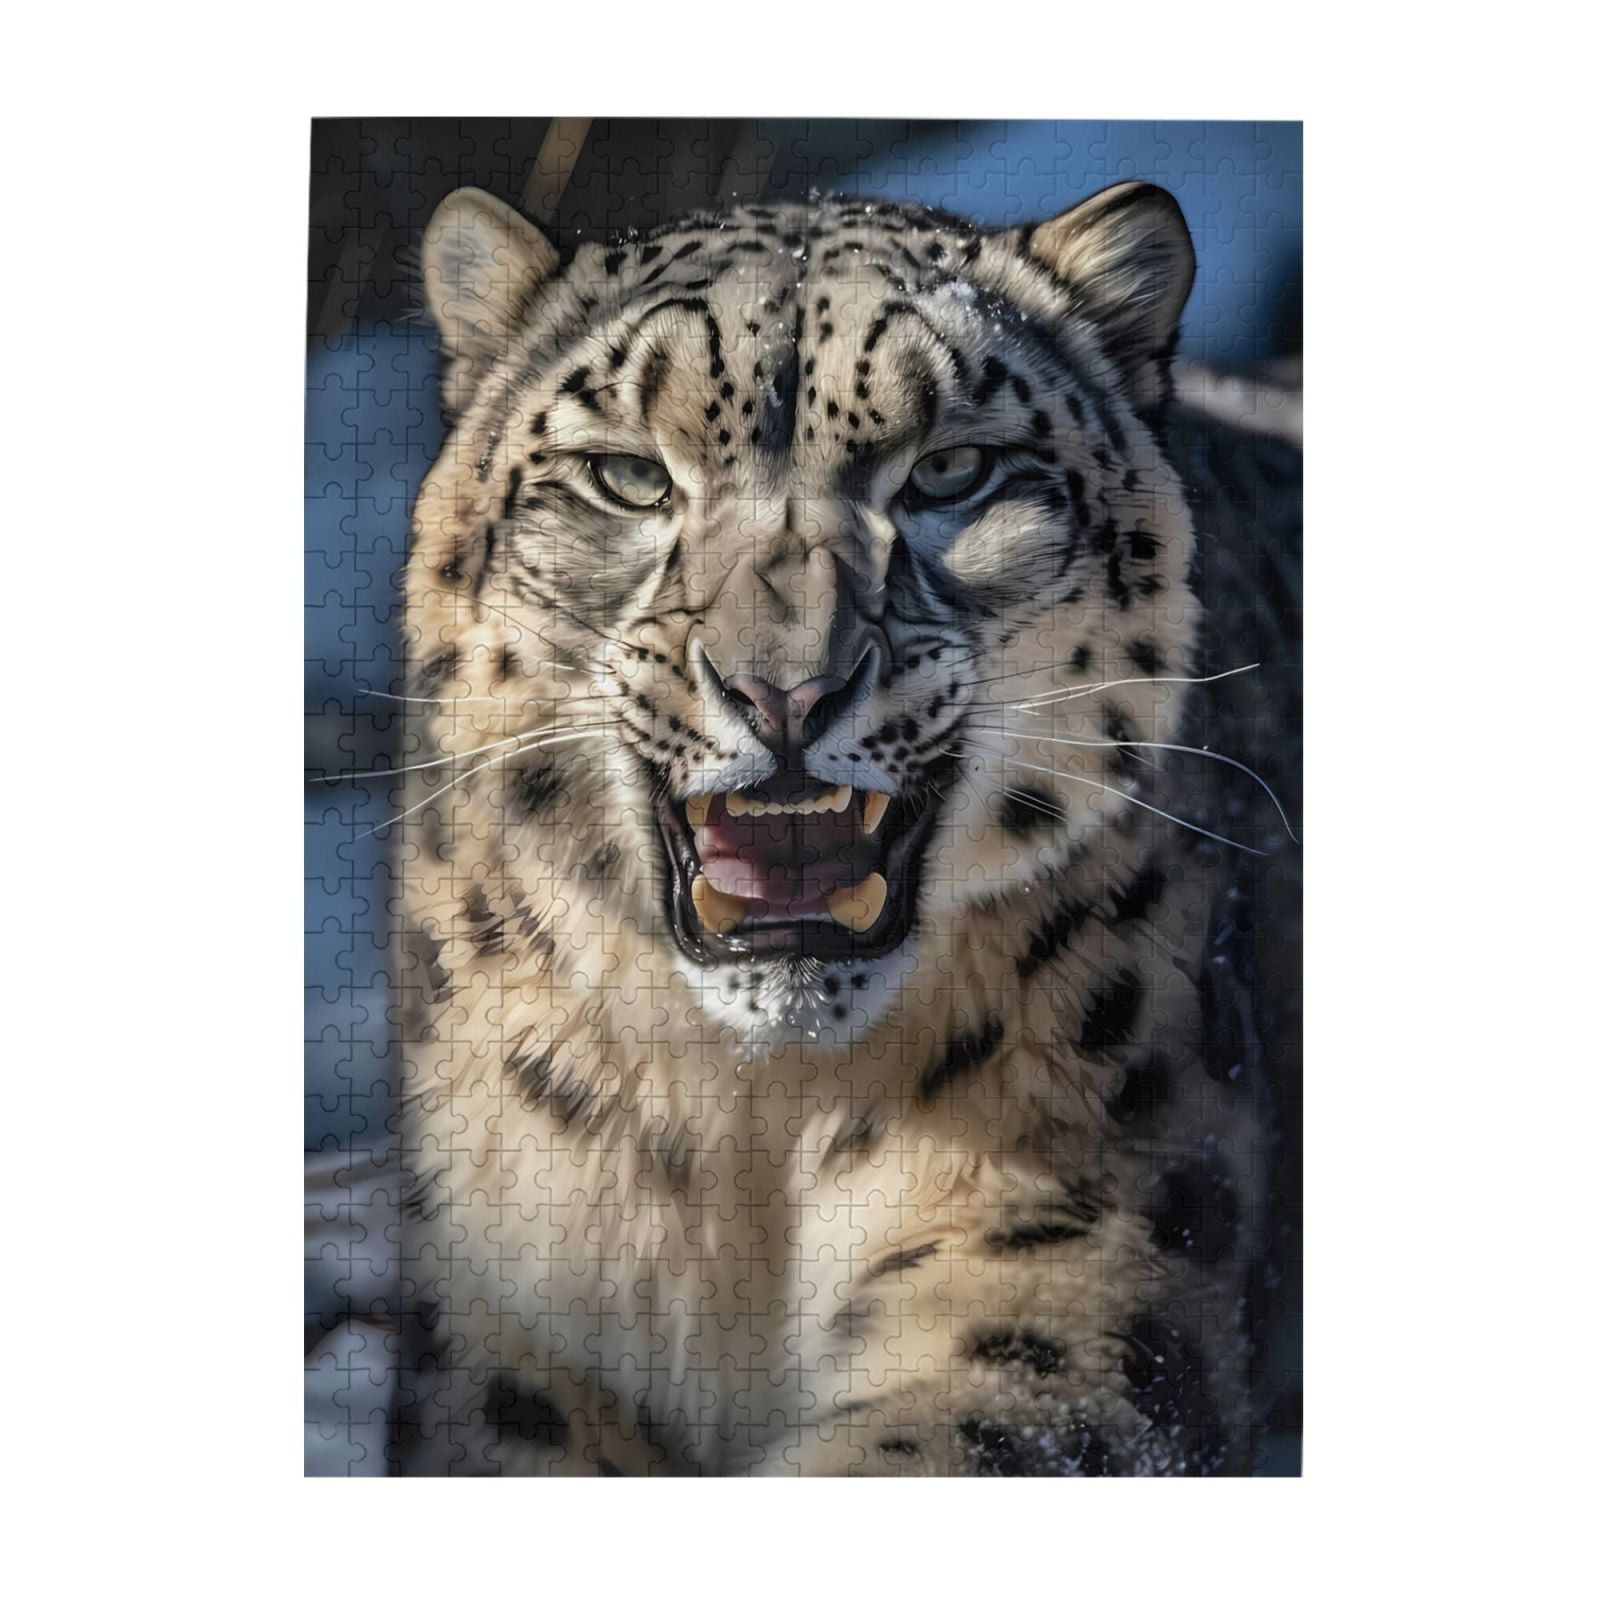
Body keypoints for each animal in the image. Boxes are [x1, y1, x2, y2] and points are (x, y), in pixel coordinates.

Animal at [390, 179, 1294, 1475]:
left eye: (951, 469)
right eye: (629, 478)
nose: (785, 691)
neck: (753, 1127)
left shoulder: (1070, 1265)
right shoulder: (513, 1311)